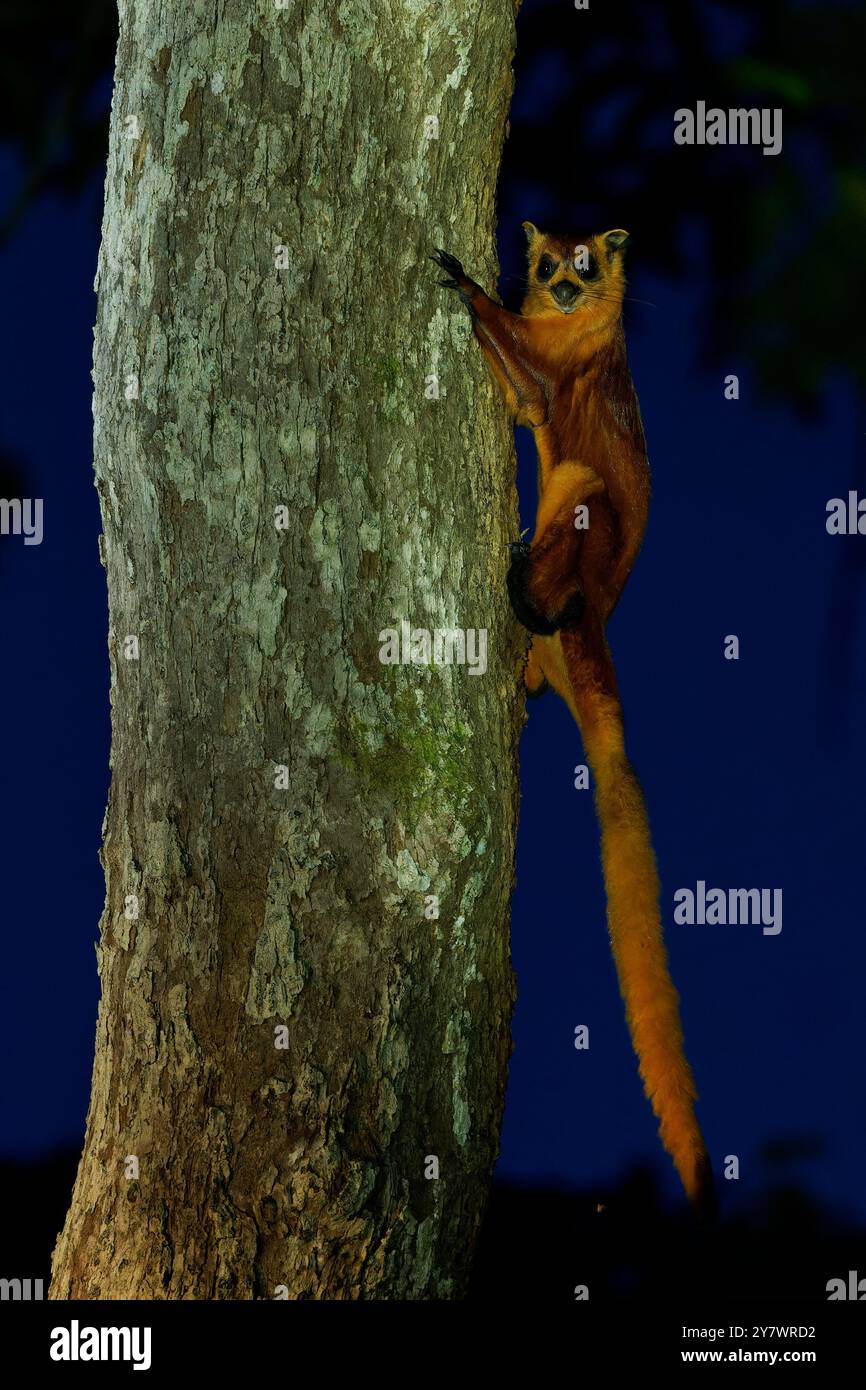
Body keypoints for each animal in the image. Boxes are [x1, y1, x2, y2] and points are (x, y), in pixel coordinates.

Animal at [433, 224, 714, 1215]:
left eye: (585, 266)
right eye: (549, 262)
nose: (556, 289)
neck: (579, 321)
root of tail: (590, 626)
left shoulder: (574, 354)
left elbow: (543, 379)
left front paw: (465, 285)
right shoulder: (543, 370)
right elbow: (527, 403)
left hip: (582, 532)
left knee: (580, 492)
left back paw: (530, 590)